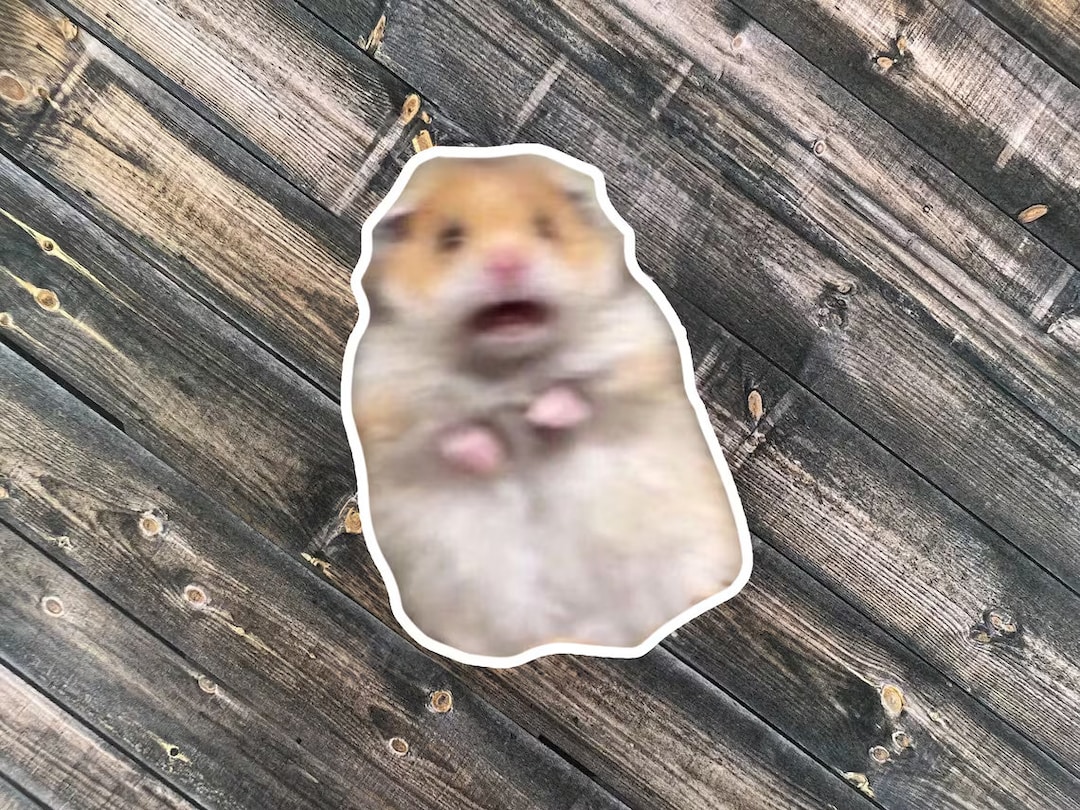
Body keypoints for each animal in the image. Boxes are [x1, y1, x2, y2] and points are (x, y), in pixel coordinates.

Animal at [350, 154, 743, 658]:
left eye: (546, 228)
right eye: (449, 239)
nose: (508, 262)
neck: (510, 366)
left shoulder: (639, 363)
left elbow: (584, 396)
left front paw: (538, 415)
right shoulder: (385, 410)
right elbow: (448, 436)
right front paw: (497, 454)